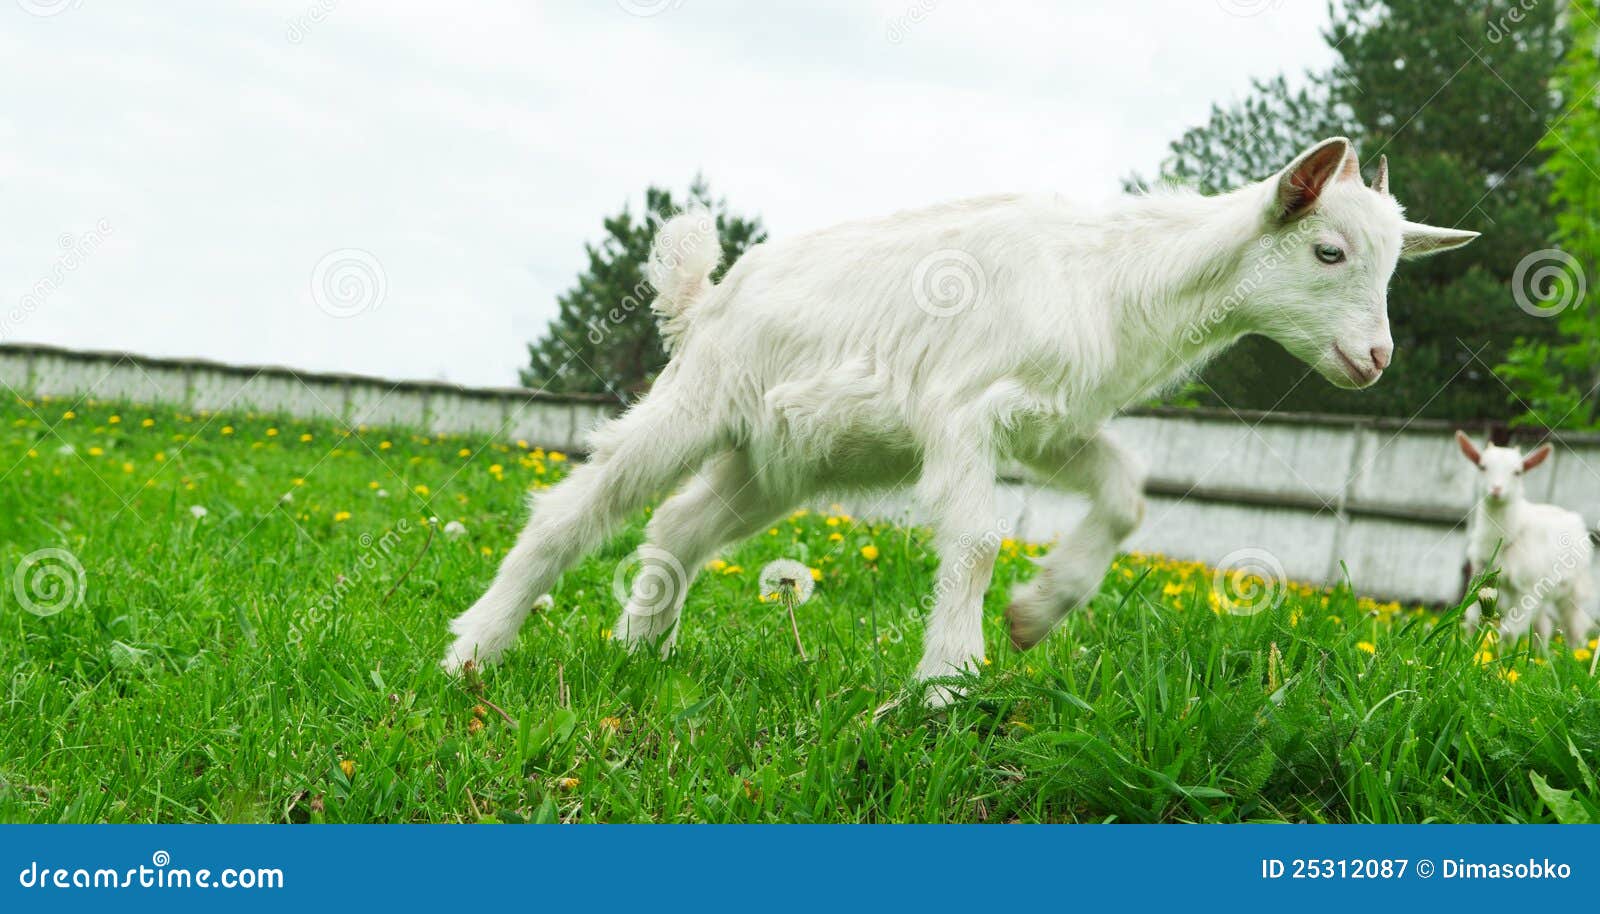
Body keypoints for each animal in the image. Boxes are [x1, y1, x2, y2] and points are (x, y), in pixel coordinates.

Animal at [444, 137, 1478, 704]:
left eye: (1395, 263)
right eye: (1329, 250)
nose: (1375, 359)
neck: (1116, 279)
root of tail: (709, 298)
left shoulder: (1053, 425)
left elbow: (1127, 495)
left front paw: (1037, 613)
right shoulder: (961, 417)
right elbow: (977, 539)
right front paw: (948, 679)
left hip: (777, 461)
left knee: (680, 527)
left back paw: (638, 648)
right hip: (700, 401)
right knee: (580, 509)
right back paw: (472, 653)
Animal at [1456, 432, 1596, 644]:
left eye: (1517, 472)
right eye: (1482, 466)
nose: (1496, 490)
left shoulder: (1527, 587)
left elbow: (1509, 632)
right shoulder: (1480, 574)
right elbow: (1472, 620)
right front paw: (1470, 647)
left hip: (1572, 589)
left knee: (1575, 626)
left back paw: (1575, 650)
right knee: (1543, 627)